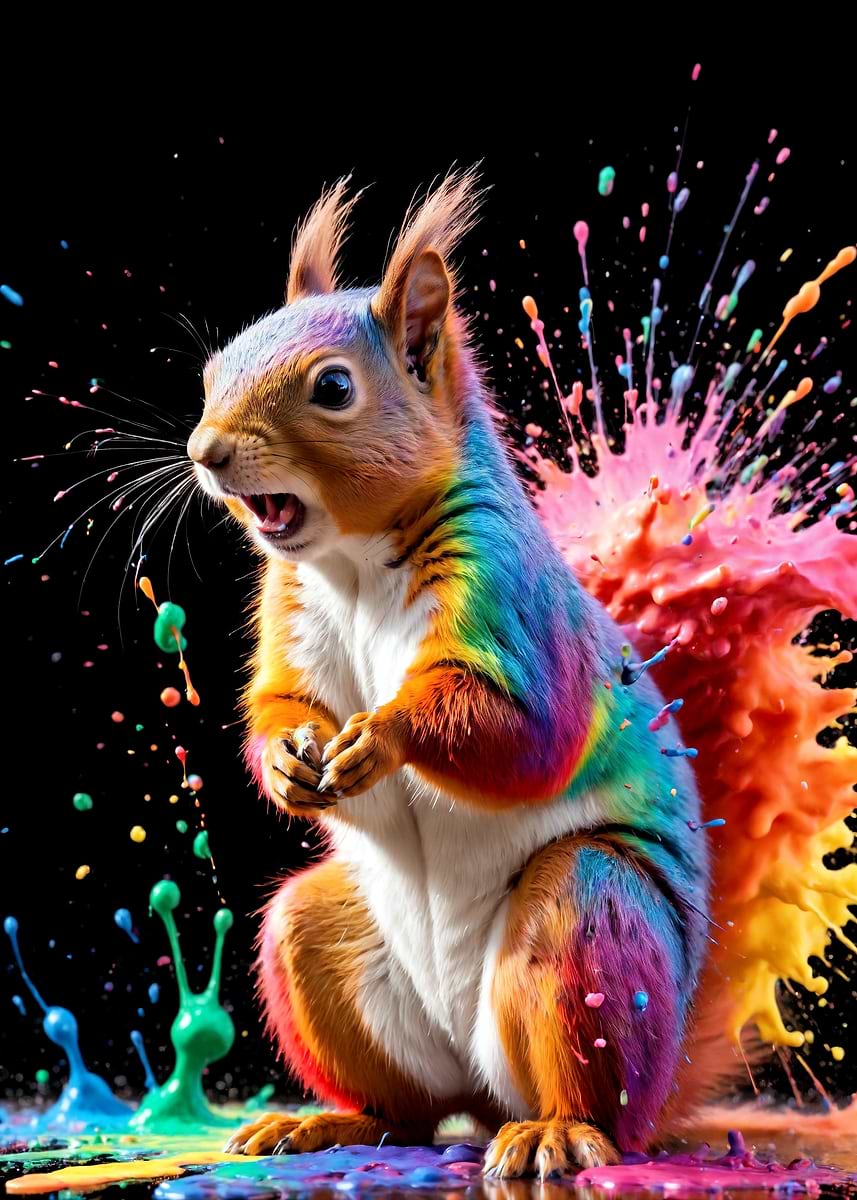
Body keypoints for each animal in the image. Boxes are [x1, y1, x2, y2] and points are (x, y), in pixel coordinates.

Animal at [187, 170, 711, 1178]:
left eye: (334, 388)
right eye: (212, 369)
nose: (206, 453)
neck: (351, 560)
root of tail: (483, 1089)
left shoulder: (504, 593)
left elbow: (523, 729)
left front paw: (379, 740)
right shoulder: (289, 606)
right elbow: (279, 703)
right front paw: (291, 760)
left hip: (587, 929)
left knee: (592, 1100)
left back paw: (554, 1132)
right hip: (322, 950)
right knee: (407, 1109)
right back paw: (324, 1123)